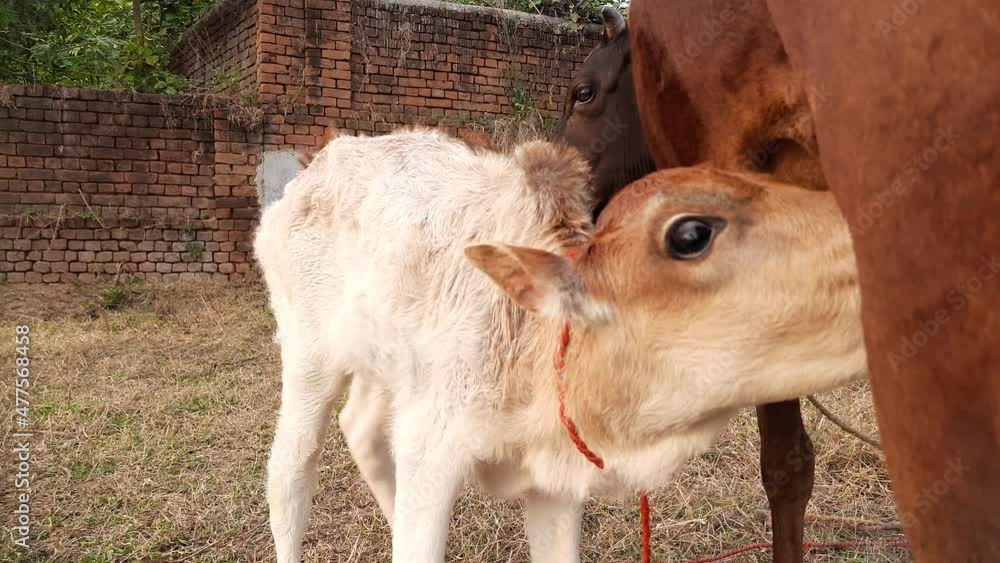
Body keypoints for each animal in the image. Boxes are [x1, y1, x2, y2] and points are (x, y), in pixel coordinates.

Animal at [254, 126, 868, 563]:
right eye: (690, 233)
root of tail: (312, 172)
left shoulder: (551, 485)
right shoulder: (434, 446)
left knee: (360, 426)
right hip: (309, 355)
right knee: (289, 473)